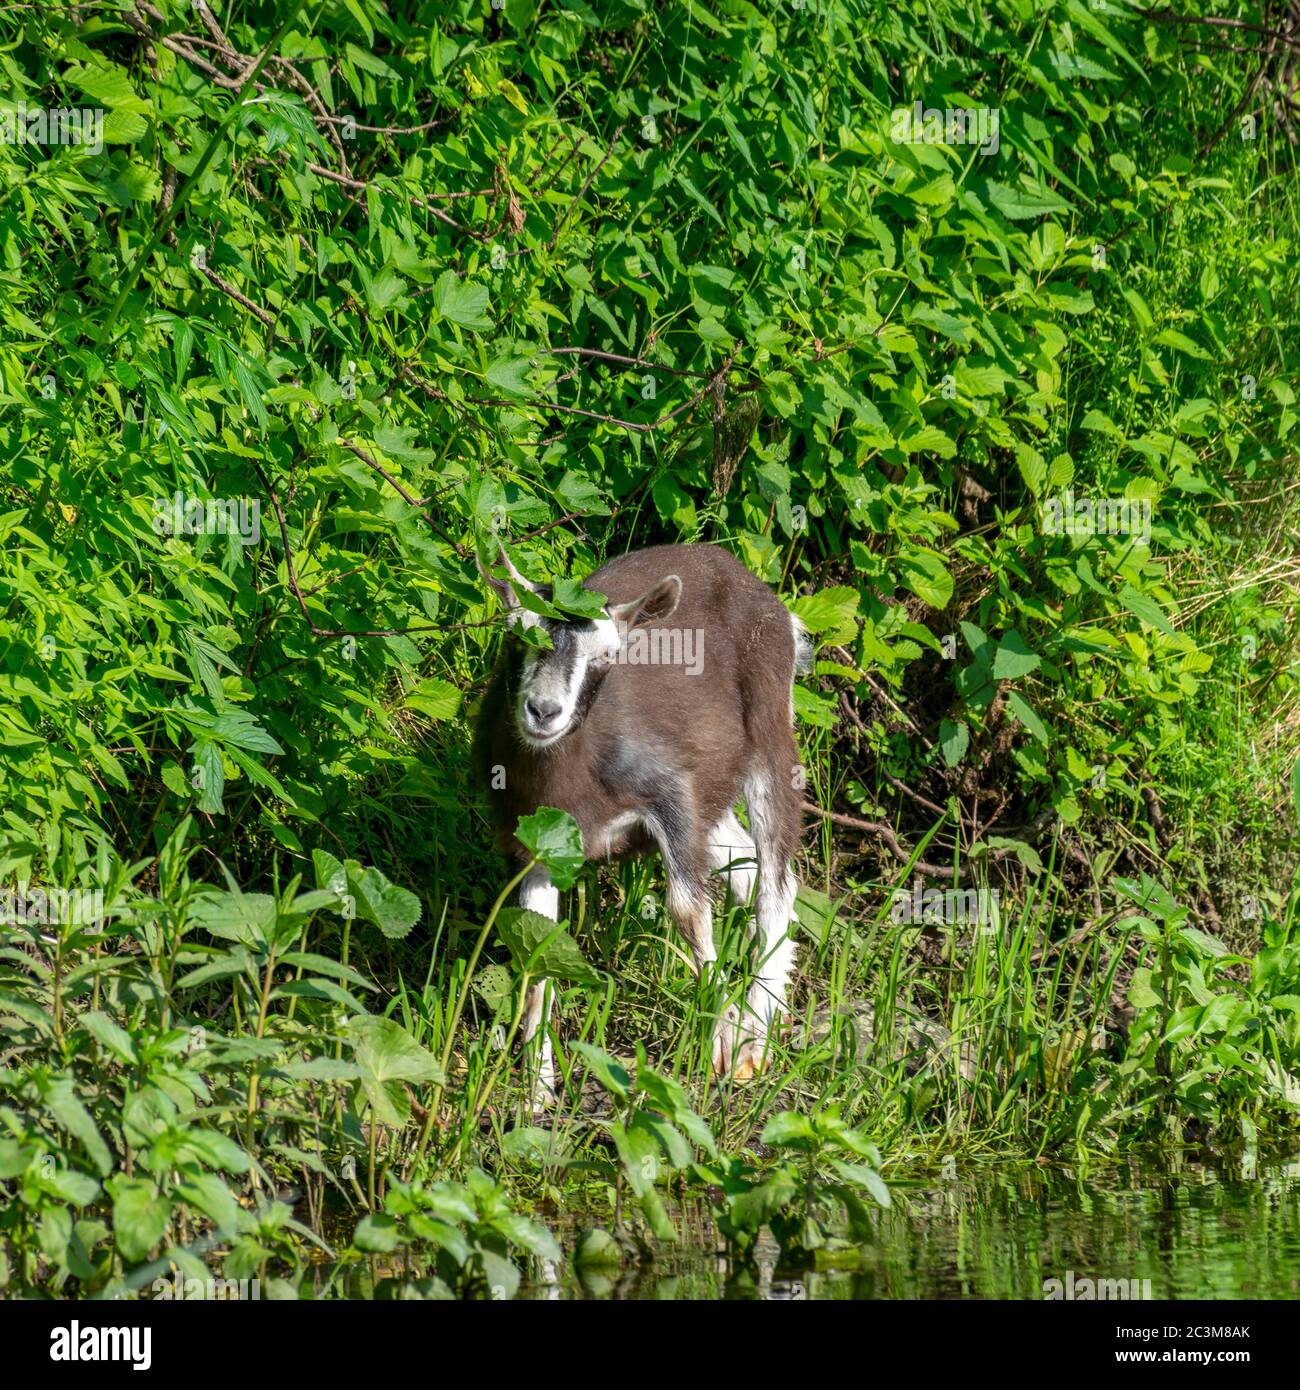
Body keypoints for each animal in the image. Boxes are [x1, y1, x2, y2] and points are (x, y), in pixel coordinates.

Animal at [473, 541, 811, 1101]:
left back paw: (755, 1040)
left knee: (776, 879)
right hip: (714, 797)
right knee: (744, 863)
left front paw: (719, 1043)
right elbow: (538, 942)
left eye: (606, 656)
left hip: (770, 734)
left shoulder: (673, 795)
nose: (543, 711)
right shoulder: (537, 841)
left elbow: (687, 912)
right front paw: (536, 1094)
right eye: (518, 634)